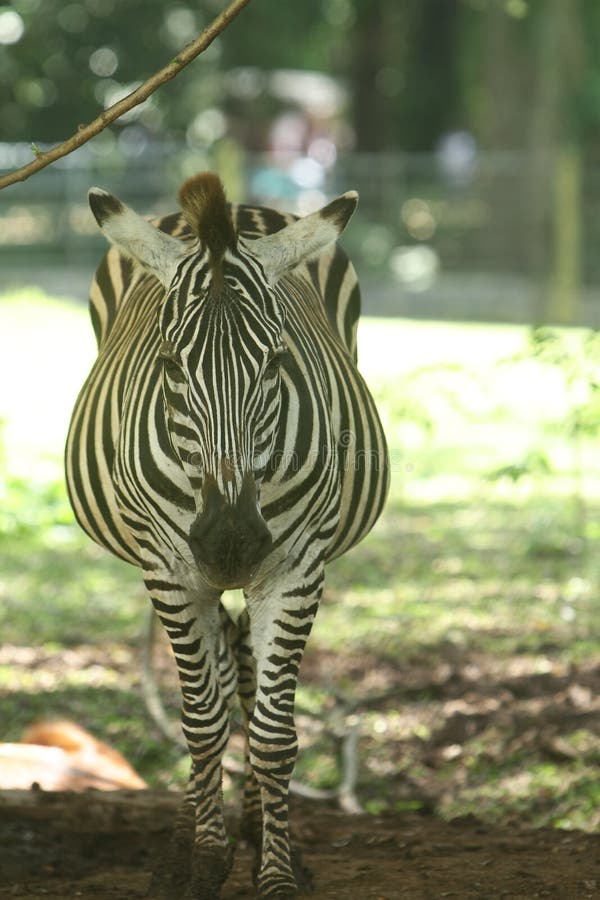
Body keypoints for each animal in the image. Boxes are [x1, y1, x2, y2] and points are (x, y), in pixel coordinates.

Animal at [65, 171, 389, 899]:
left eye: (274, 363)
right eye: (170, 365)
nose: (232, 540)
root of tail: (239, 206)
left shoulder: (296, 569)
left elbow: (272, 736)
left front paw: (275, 871)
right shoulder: (172, 569)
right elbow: (201, 722)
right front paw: (206, 859)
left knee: (240, 663)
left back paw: (259, 831)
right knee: (214, 678)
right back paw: (186, 843)